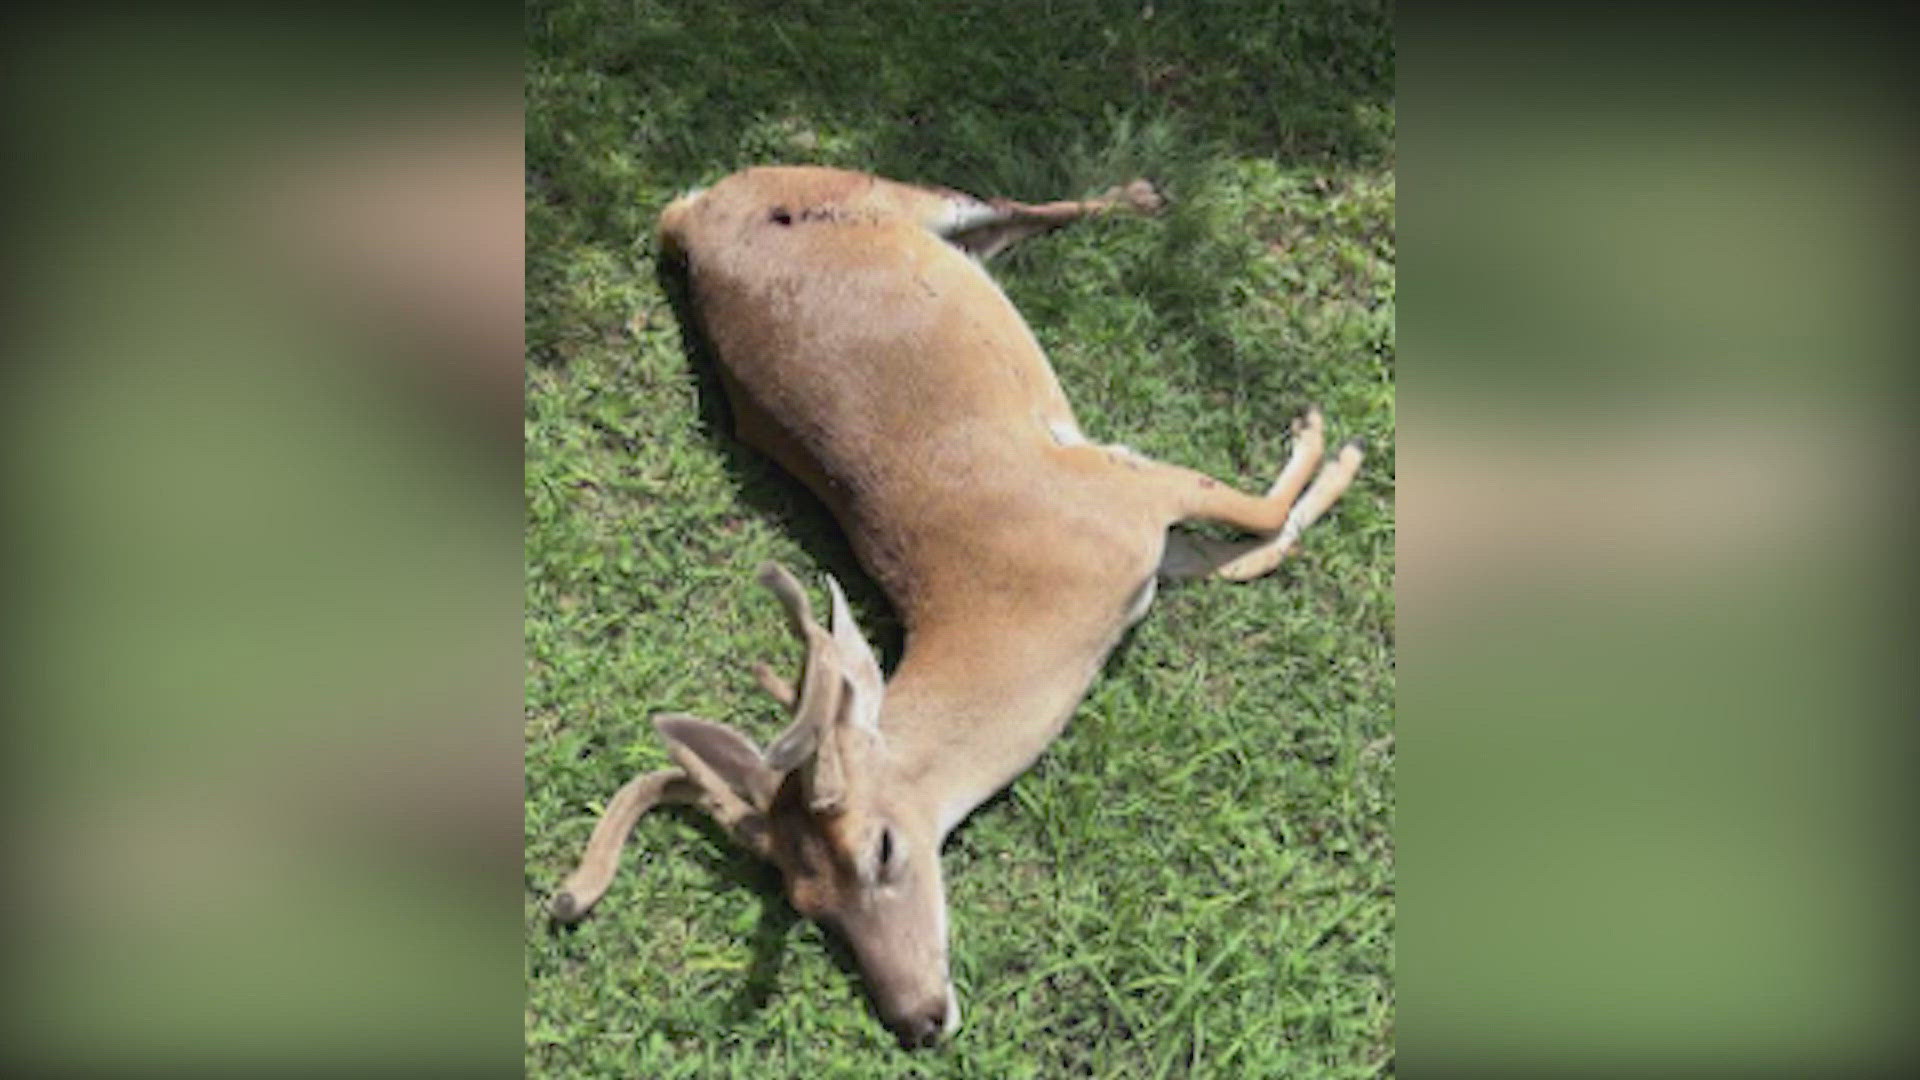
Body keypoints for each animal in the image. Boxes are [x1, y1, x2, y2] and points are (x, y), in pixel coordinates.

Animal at [547, 165, 1365, 1049]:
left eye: (881, 849)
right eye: (808, 903)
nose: (917, 1019)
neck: (1019, 591)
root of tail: (690, 210)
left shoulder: (1125, 486)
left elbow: (1260, 514)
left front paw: (1327, 432)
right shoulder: (1137, 528)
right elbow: (1261, 544)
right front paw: (1332, 448)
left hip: (883, 191)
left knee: (1017, 206)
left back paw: (1144, 199)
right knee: (1009, 229)